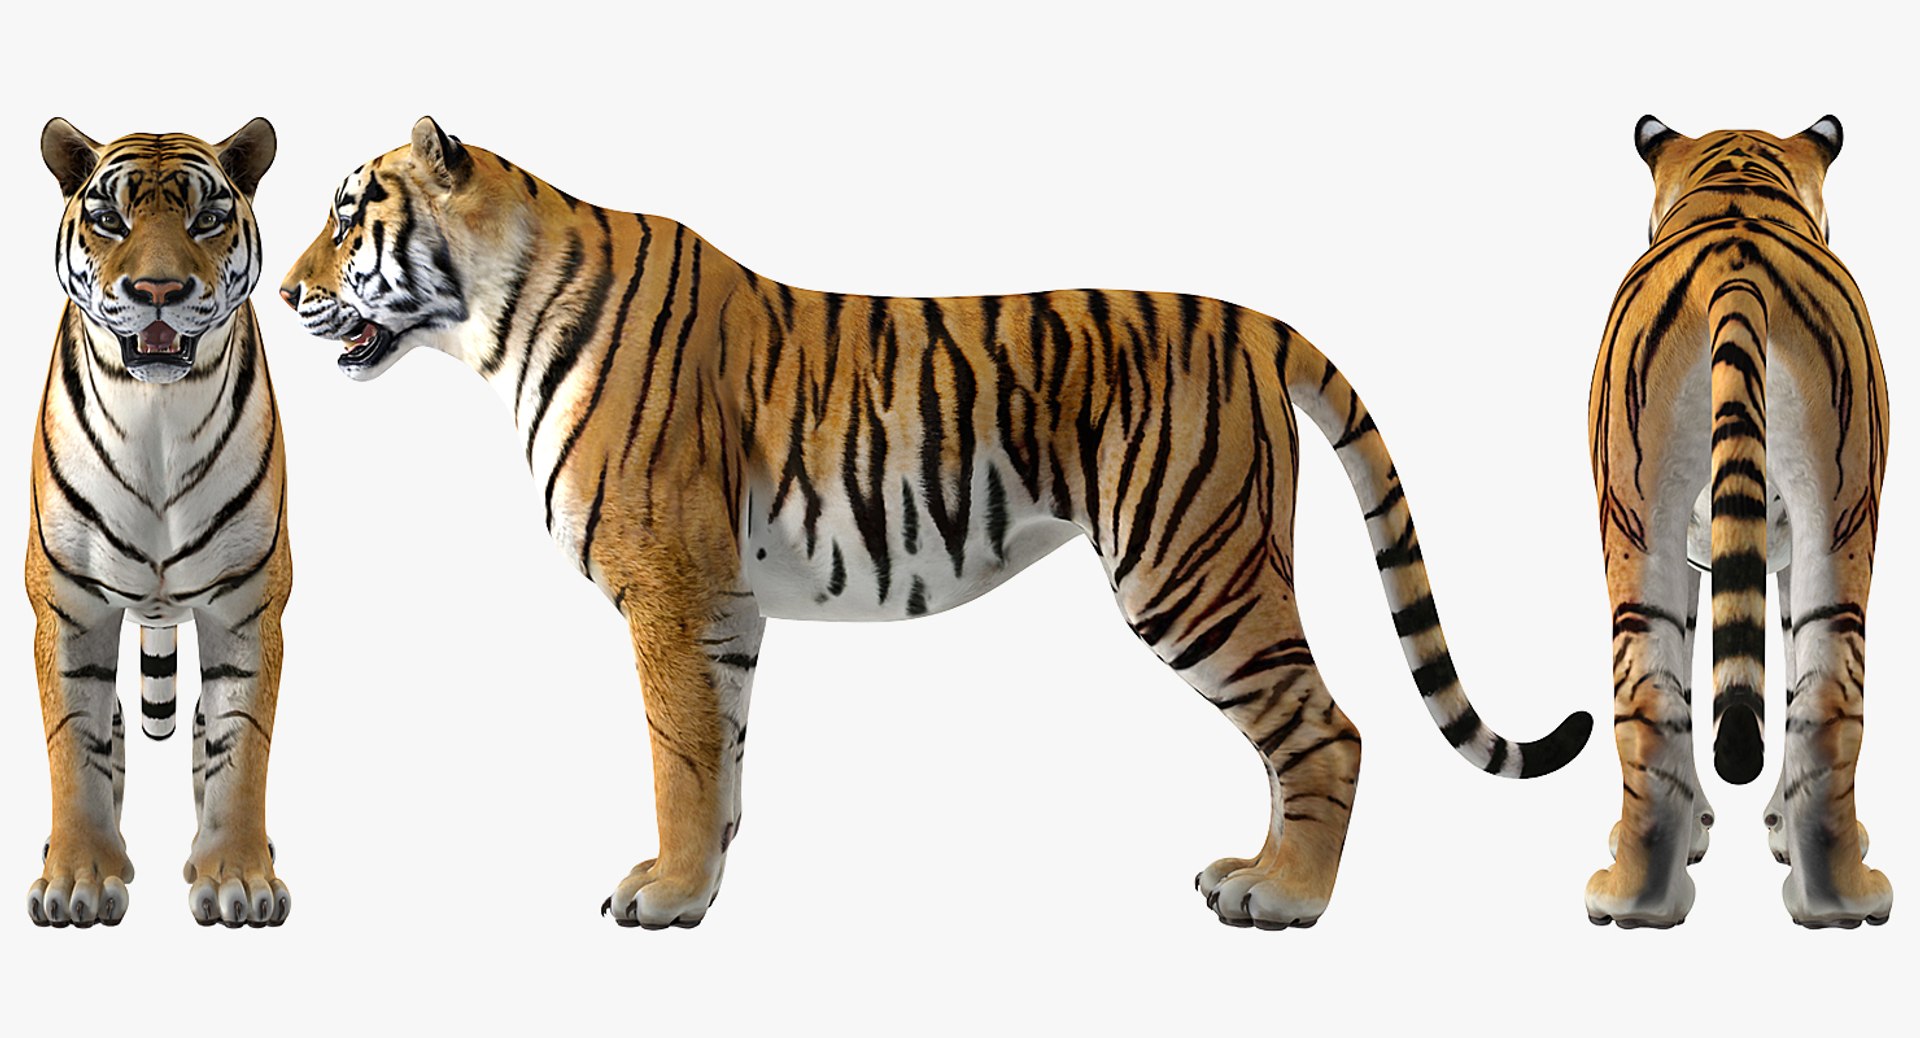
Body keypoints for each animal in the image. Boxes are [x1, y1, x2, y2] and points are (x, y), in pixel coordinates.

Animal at [26, 119, 293, 929]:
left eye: (206, 218)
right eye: (110, 218)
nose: (158, 291)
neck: (158, 413)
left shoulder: (246, 606)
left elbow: (241, 751)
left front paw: (239, 876)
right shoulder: (70, 606)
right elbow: (74, 750)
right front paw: (77, 878)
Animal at [279, 117, 1592, 930]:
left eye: (348, 221)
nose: (287, 294)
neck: (494, 322)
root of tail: (1247, 318)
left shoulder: (667, 587)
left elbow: (676, 754)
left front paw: (666, 892)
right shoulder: (724, 605)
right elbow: (724, 751)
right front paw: (708, 877)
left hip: (1191, 566)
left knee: (1327, 729)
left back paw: (1286, 899)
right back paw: (1255, 870)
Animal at [1585, 115, 1892, 929]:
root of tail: (1738, 270)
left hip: (1648, 528)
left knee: (1659, 698)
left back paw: (1639, 901)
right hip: (1832, 524)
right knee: (1819, 699)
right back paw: (1836, 900)